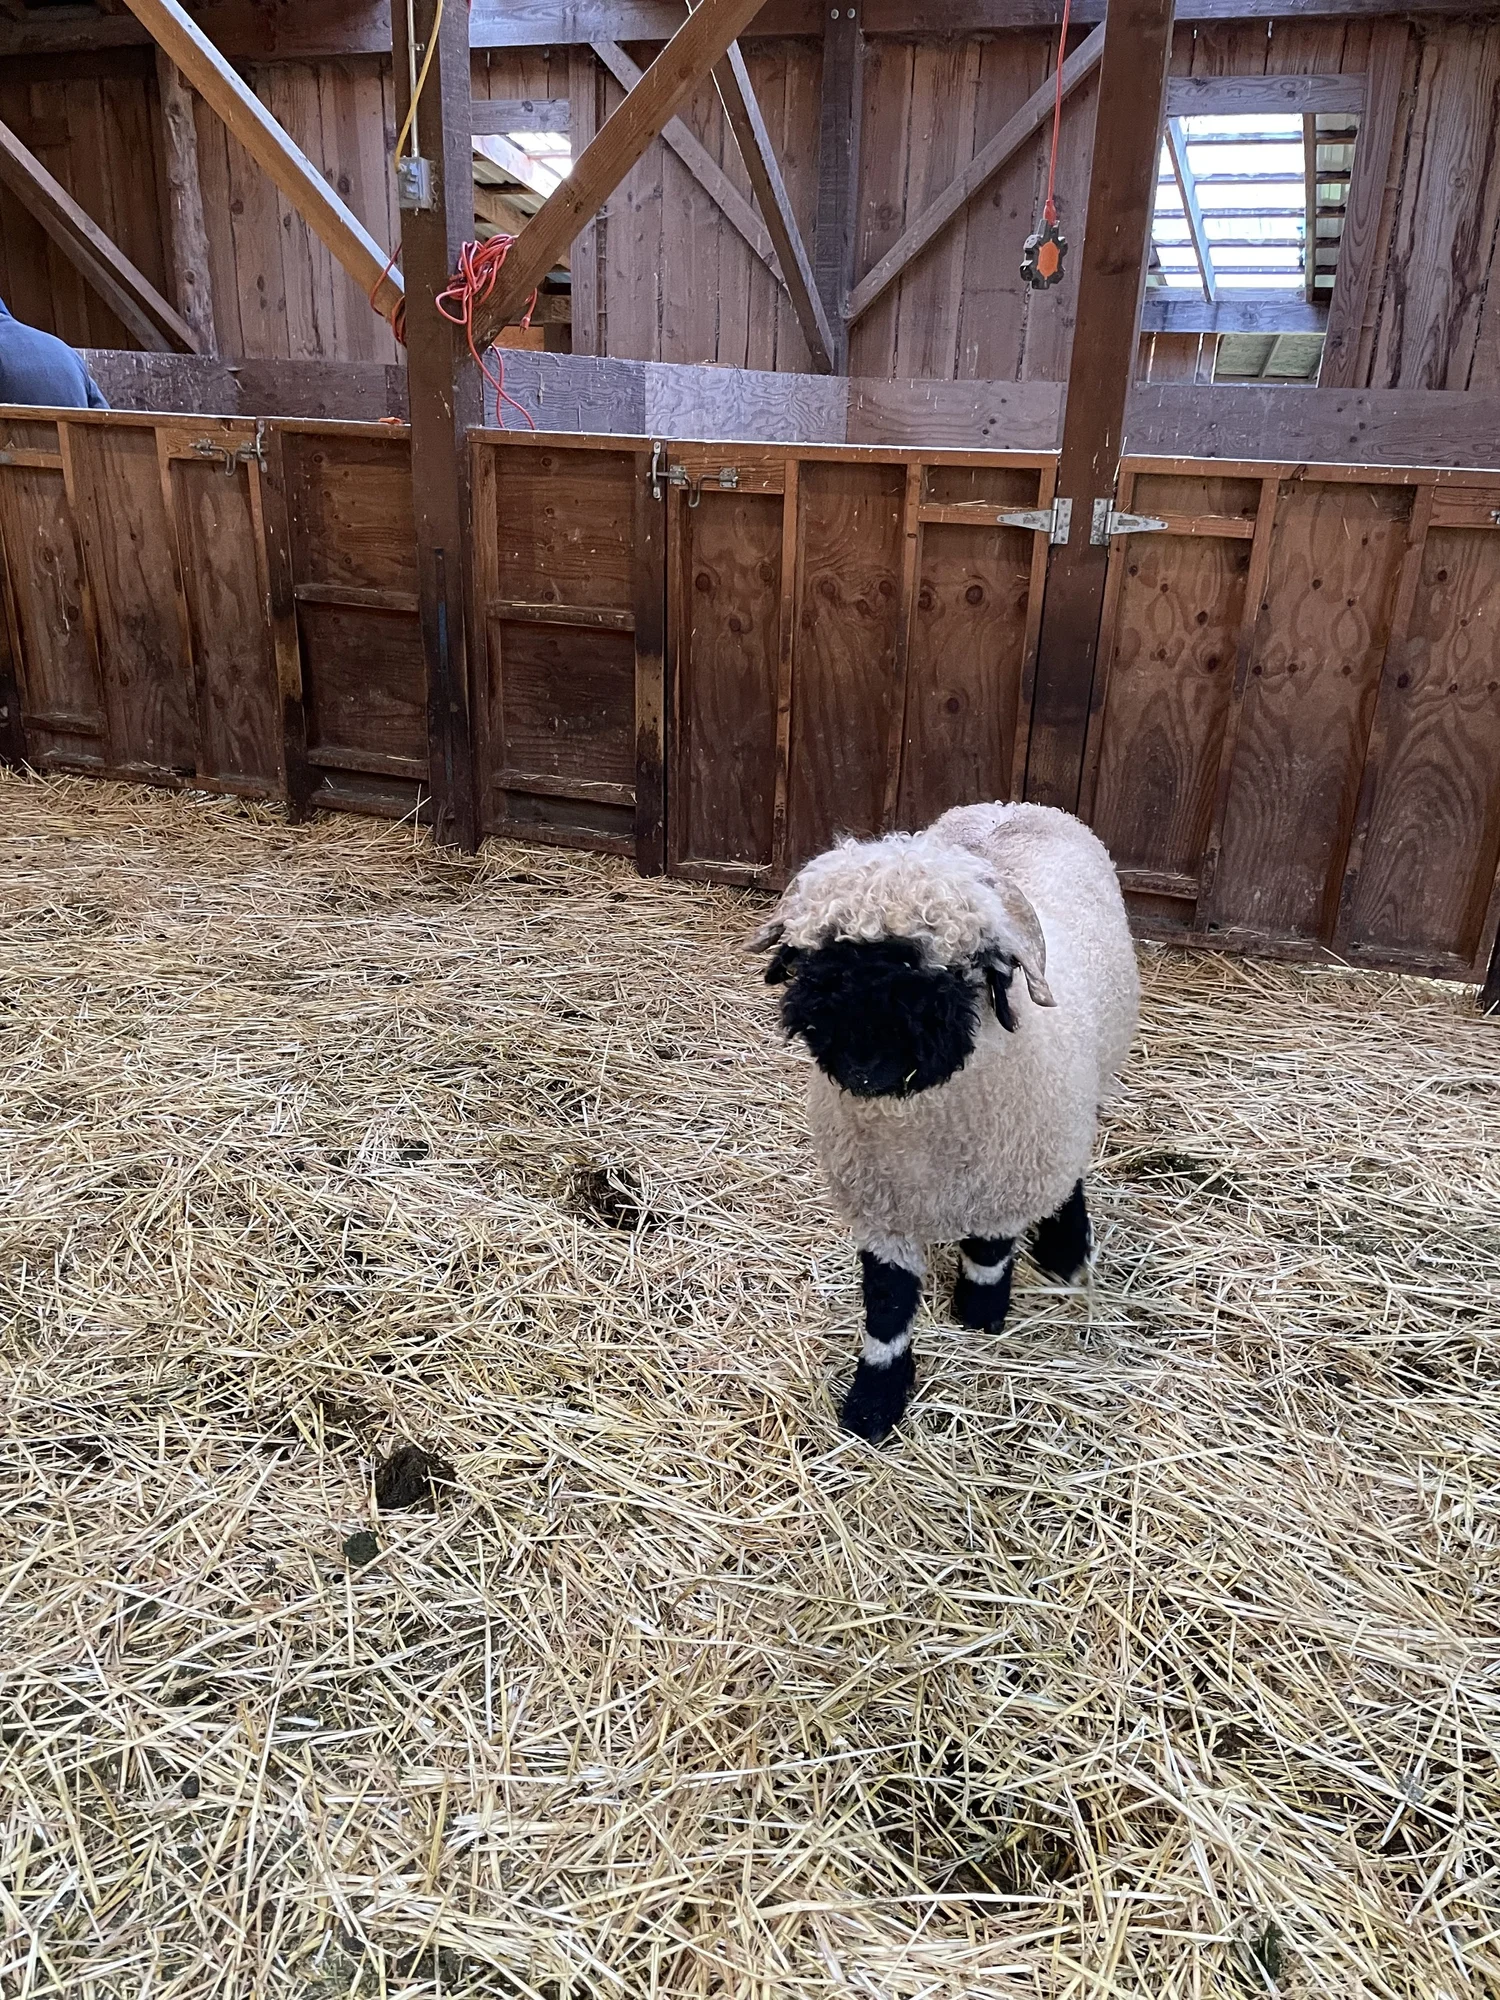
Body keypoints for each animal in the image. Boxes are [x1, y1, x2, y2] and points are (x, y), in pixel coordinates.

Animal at [753, 801, 1139, 1442]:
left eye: (951, 971)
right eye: (821, 961)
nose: (864, 1062)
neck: (918, 1138)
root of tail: (1015, 806)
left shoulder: (1004, 1185)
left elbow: (986, 1259)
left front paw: (978, 1319)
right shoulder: (877, 1209)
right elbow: (886, 1307)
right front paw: (874, 1402)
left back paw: (1065, 1247)